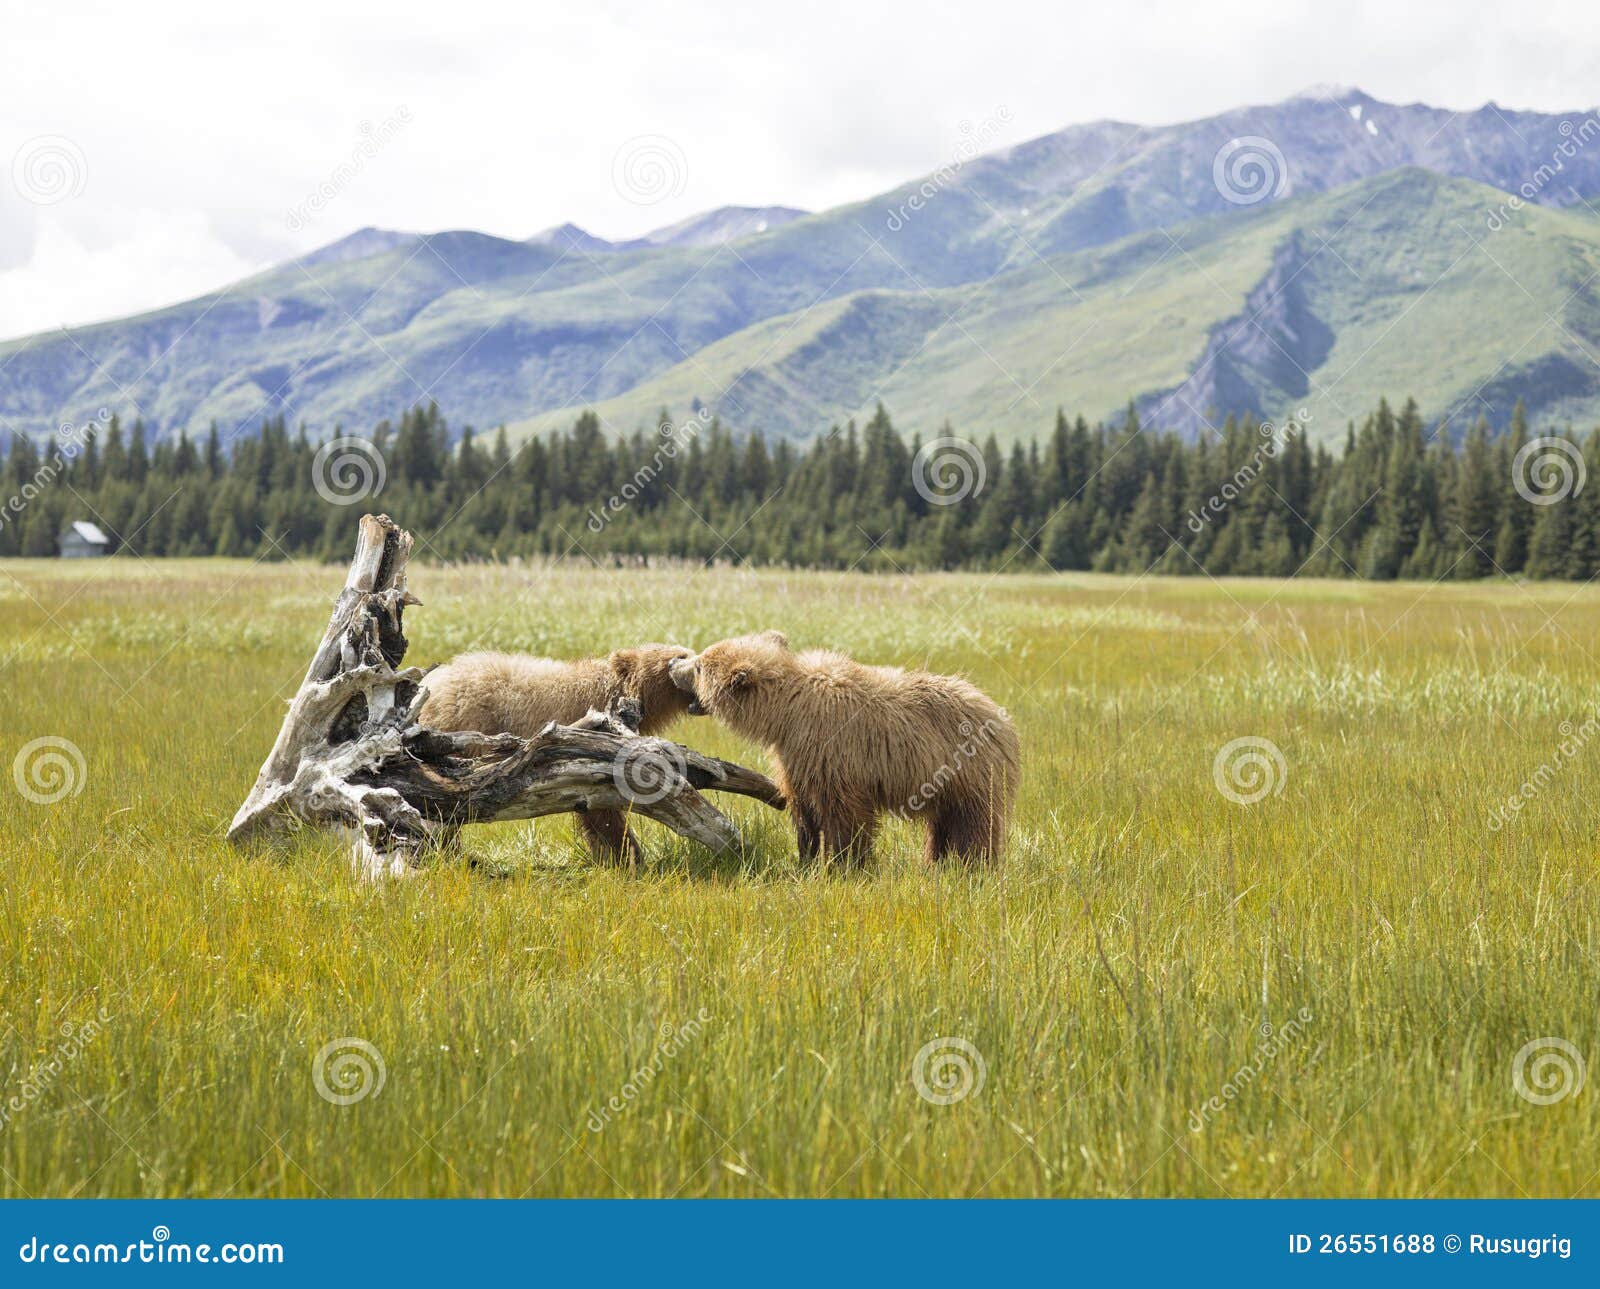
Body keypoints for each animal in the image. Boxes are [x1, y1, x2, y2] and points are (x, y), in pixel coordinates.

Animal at [669, 631, 1019, 866]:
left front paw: (843, 863)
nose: (674, 662)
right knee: (941, 823)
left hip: (969, 772)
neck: (786, 714)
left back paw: (974, 864)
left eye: (700, 666)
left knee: (974, 821)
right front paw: (806, 857)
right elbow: (802, 808)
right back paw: (935, 862)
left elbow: (844, 814)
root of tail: (1000, 716)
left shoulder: (835, 752)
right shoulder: (796, 755)